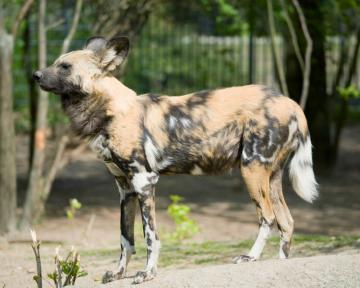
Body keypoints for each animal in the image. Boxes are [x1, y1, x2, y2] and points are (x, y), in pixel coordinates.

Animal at [32, 35, 316, 284]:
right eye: (55, 63)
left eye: (65, 67)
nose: (35, 75)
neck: (109, 112)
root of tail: (290, 103)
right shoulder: (125, 188)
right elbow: (125, 239)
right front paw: (119, 274)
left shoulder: (144, 181)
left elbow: (150, 236)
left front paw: (147, 273)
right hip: (270, 177)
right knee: (287, 222)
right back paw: (279, 263)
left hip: (251, 170)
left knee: (267, 217)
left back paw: (251, 257)